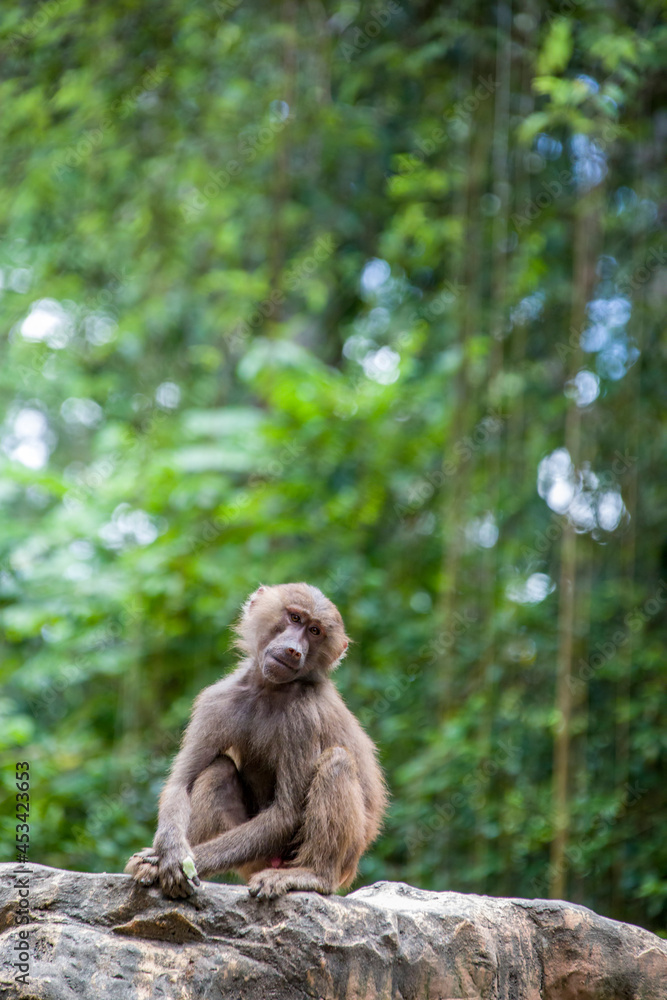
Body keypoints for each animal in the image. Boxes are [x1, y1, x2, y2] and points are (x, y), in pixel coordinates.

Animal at [125, 583, 387, 900]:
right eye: (295, 618)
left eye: (315, 631)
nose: (293, 650)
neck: (269, 688)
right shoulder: (217, 701)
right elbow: (181, 784)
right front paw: (172, 855)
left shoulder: (303, 718)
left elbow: (286, 812)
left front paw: (173, 863)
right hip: (255, 859)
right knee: (218, 771)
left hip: (323, 859)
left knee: (337, 761)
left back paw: (312, 875)